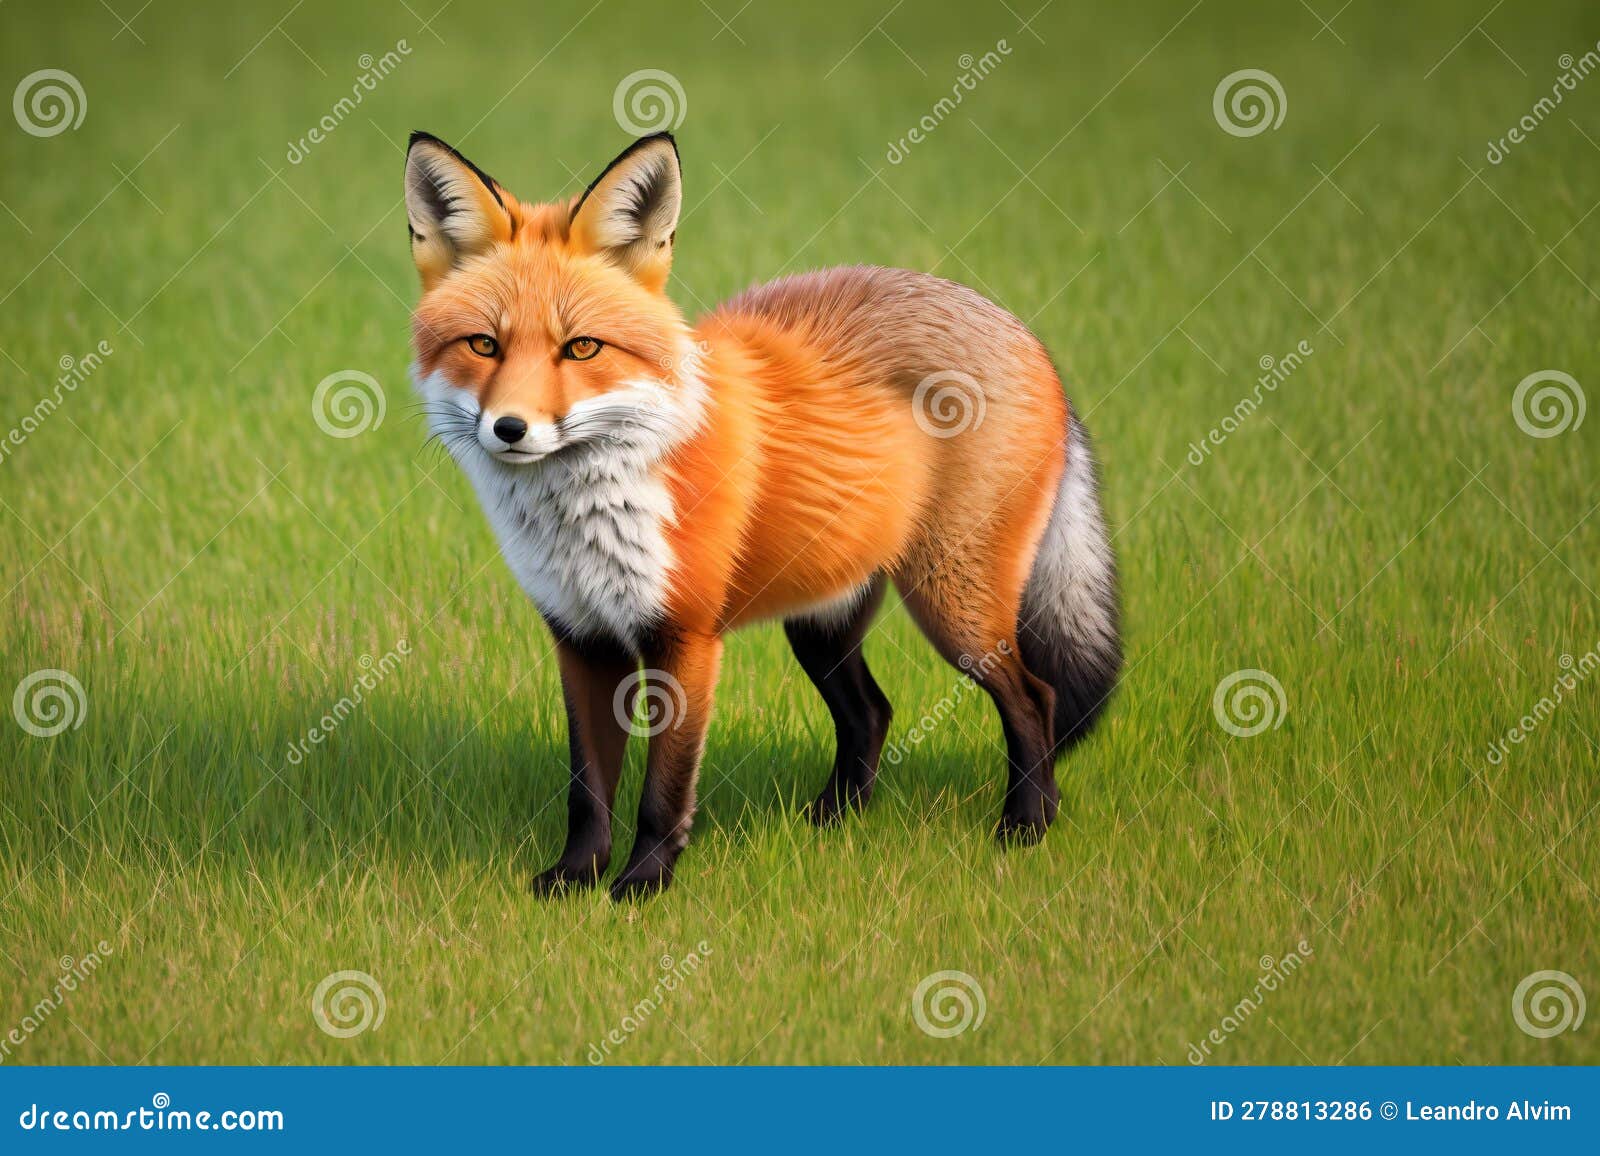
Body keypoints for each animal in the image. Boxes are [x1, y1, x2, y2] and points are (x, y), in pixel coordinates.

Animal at [405, 129, 1121, 900]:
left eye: (582, 347)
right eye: (484, 345)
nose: (510, 429)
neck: (589, 516)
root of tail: (1023, 332)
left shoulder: (683, 638)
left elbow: (662, 790)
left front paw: (642, 883)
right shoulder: (581, 636)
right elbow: (588, 787)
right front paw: (576, 878)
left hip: (955, 609)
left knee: (1035, 698)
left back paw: (1027, 824)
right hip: (822, 619)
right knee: (872, 713)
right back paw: (836, 820)